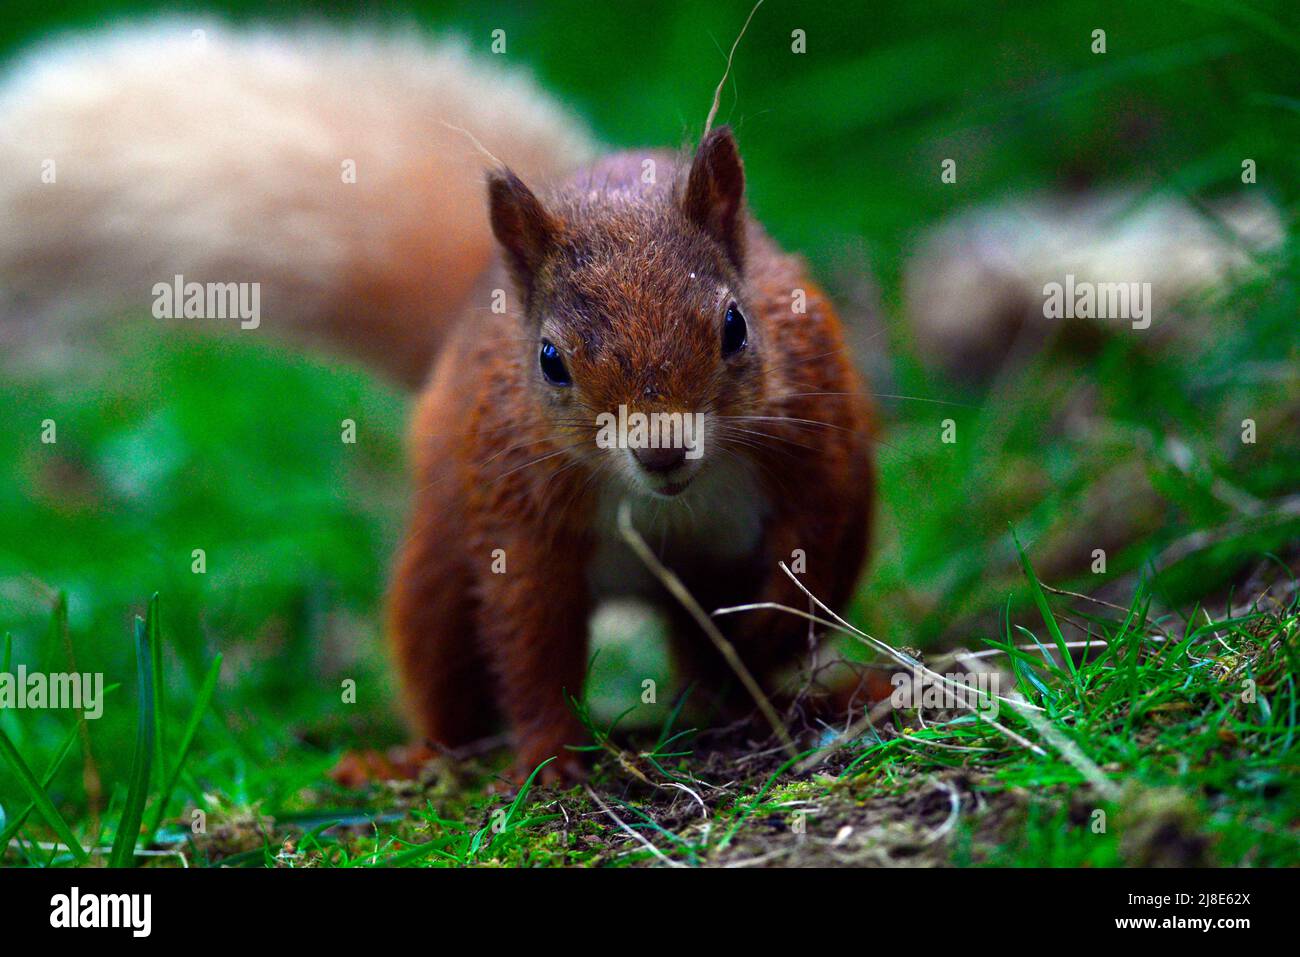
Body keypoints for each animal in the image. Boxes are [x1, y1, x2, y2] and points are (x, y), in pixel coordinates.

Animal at [0, 22, 876, 783]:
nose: (663, 451)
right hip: (436, 571)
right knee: (451, 672)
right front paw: (550, 759)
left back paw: (806, 695)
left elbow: (813, 536)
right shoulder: (517, 506)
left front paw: (772, 618)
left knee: (721, 663)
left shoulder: (817, 437)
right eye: (550, 361)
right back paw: (411, 758)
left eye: (734, 326)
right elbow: (531, 640)